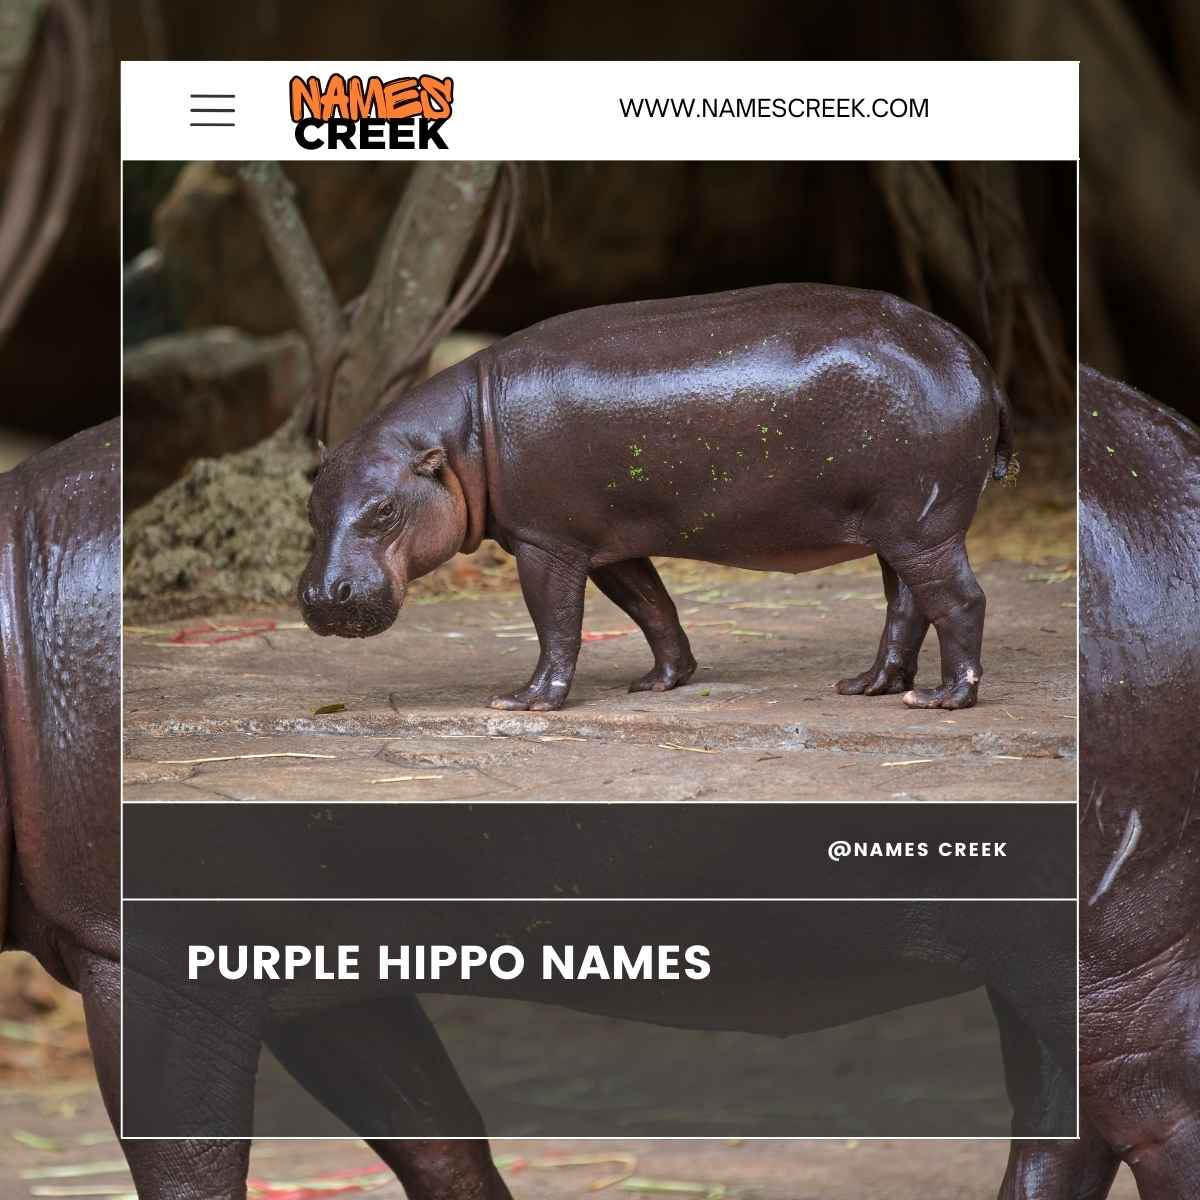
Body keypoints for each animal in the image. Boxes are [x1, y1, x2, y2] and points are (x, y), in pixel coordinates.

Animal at [300, 283, 1013, 711]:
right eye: (311, 504)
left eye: (385, 510)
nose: (323, 595)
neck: (461, 438)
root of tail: (977, 359)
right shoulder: (610, 542)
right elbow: (651, 607)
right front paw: (660, 682)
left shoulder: (547, 543)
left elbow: (556, 622)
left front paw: (525, 702)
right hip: (896, 526)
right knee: (907, 605)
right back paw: (868, 687)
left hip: (922, 524)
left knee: (960, 600)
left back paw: (943, 699)